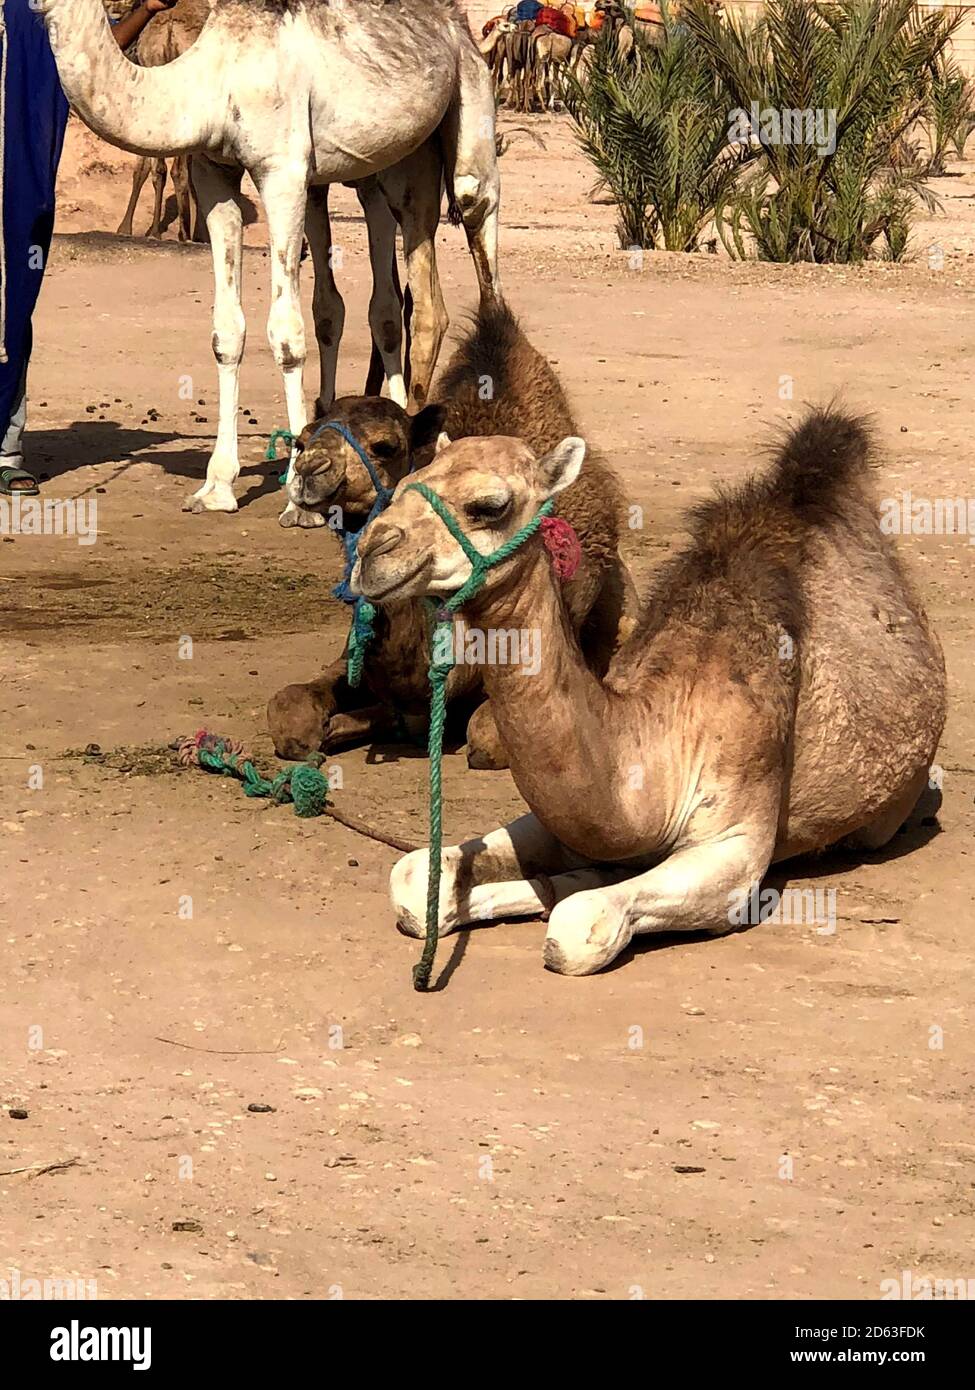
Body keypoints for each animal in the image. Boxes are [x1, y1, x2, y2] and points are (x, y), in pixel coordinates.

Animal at [42, 0, 501, 520]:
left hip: (470, 96)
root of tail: (455, 23)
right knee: (405, 303)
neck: (210, 80)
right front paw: (217, 486)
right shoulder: (213, 170)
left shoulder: (283, 171)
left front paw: (298, 497)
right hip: (402, 160)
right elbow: (227, 331)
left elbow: (286, 335)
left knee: (474, 222)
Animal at [349, 408, 946, 976]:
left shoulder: (735, 849)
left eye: (488, 506)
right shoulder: (564, 821)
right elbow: (412, 877)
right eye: (405, 484)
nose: (373, 552)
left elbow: (578, 922)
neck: (655, 734)